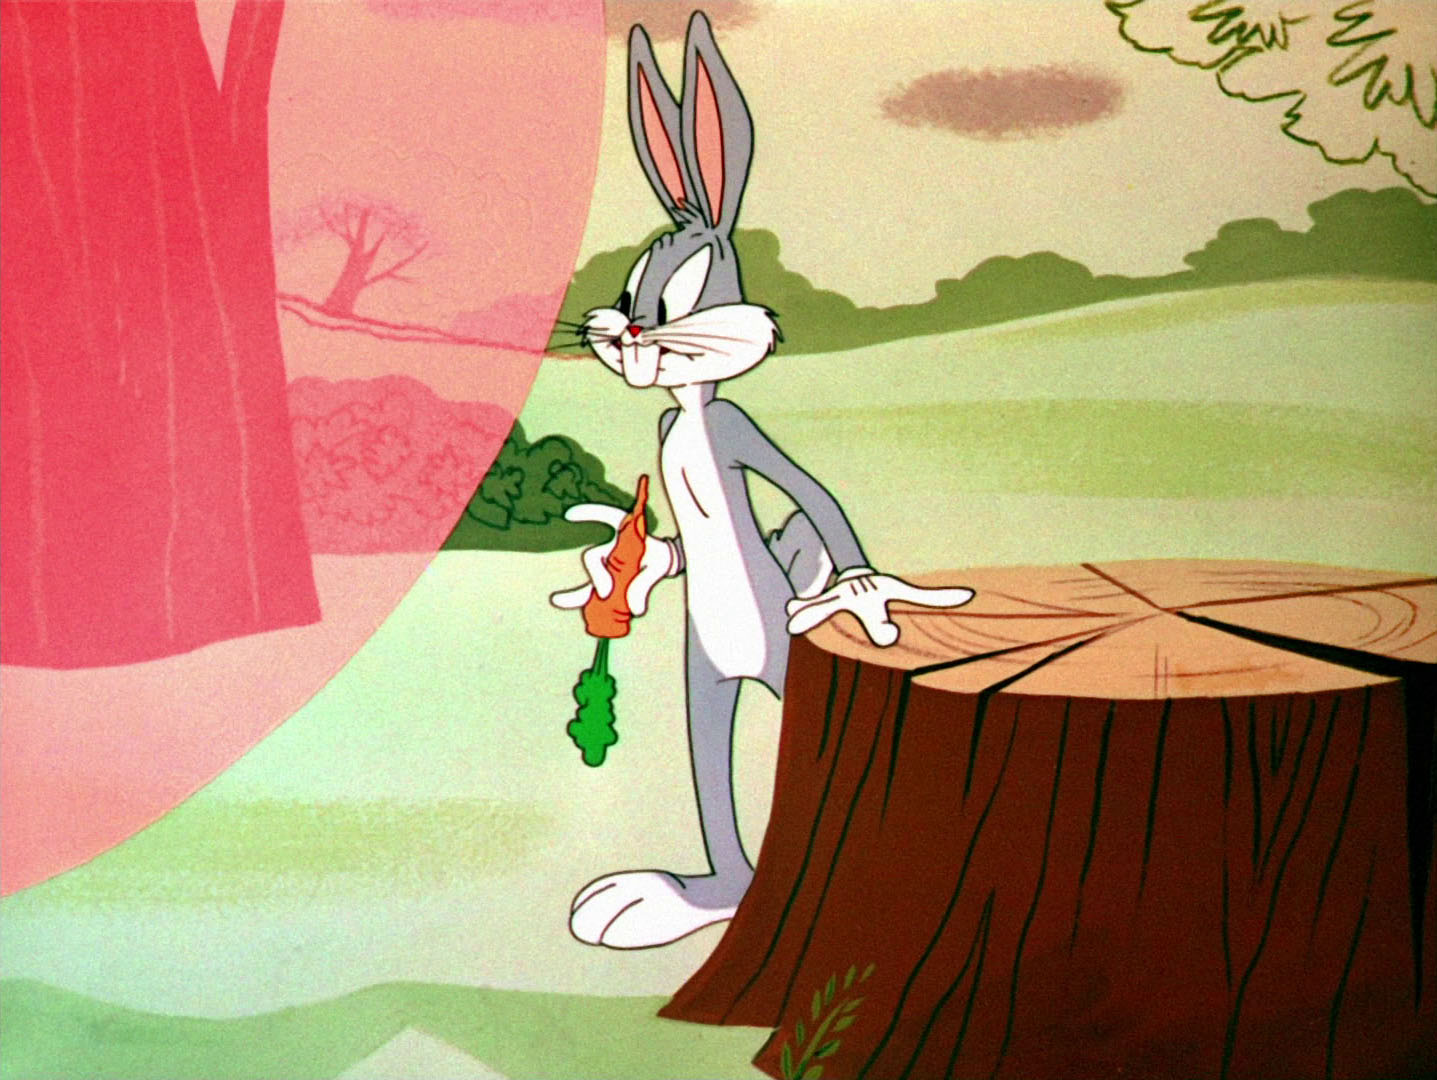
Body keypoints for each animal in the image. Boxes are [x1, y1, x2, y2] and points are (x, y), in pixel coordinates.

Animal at [550, 10, 975, 950]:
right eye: (626, 296)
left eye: (674, 302)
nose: (627, 334)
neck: (689, 409)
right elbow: (664, 547)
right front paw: (620, 565)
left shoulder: (735, 428)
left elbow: (816, 499)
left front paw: (866, 597)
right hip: (703, 675)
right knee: (715, 782)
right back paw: (686, 899)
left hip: (788, 667)